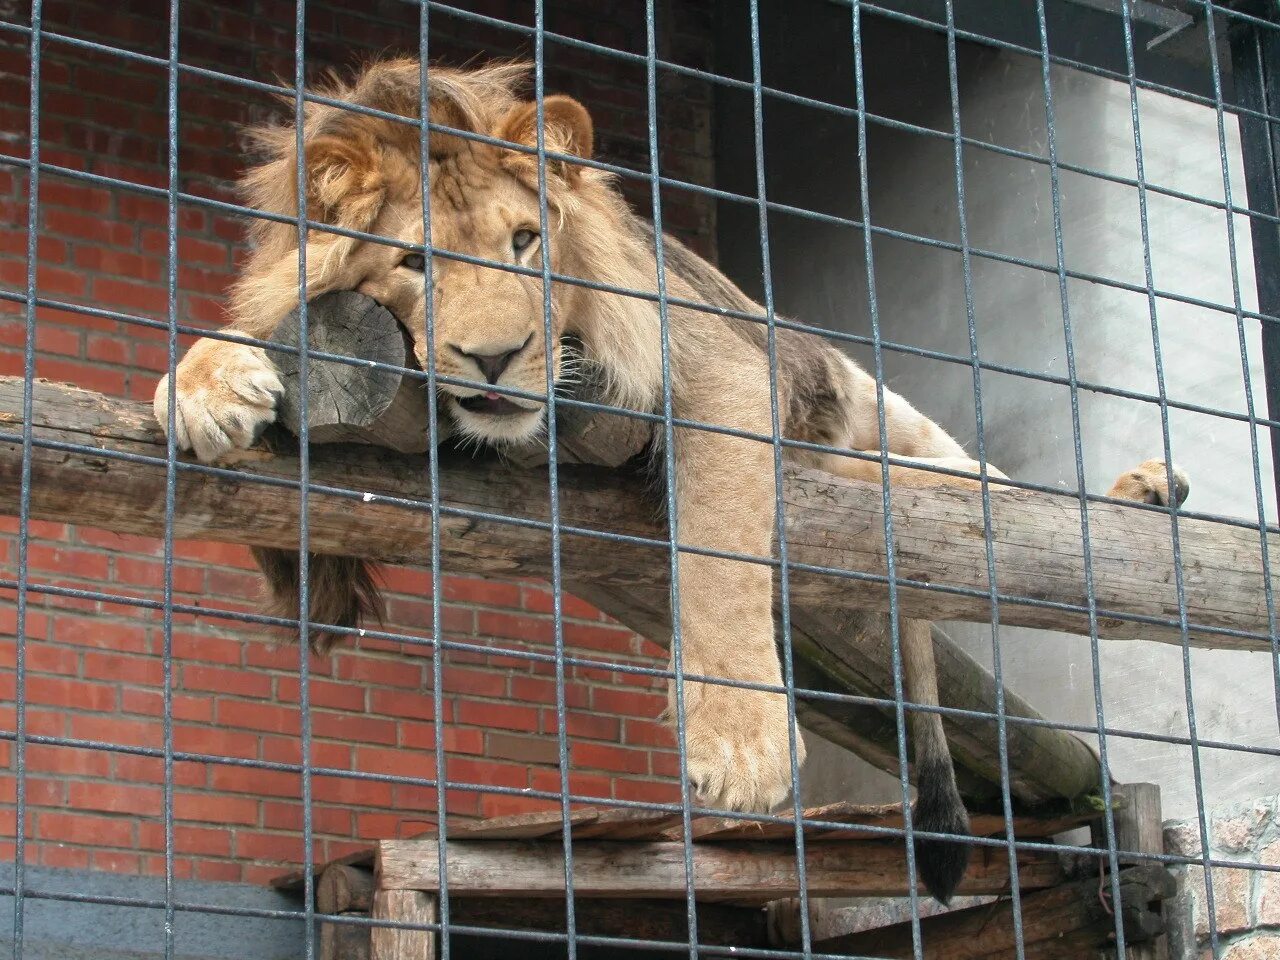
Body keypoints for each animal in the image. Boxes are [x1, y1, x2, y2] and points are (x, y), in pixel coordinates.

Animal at [152, 58, 1187, 901]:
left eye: (526, 241)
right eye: (416, 262)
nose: (498, 358)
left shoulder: (715, 362)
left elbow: (721, 552)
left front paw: (741, 744)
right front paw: (204, 383)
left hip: (870, 405)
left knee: (991, 501)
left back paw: (1140, 493)